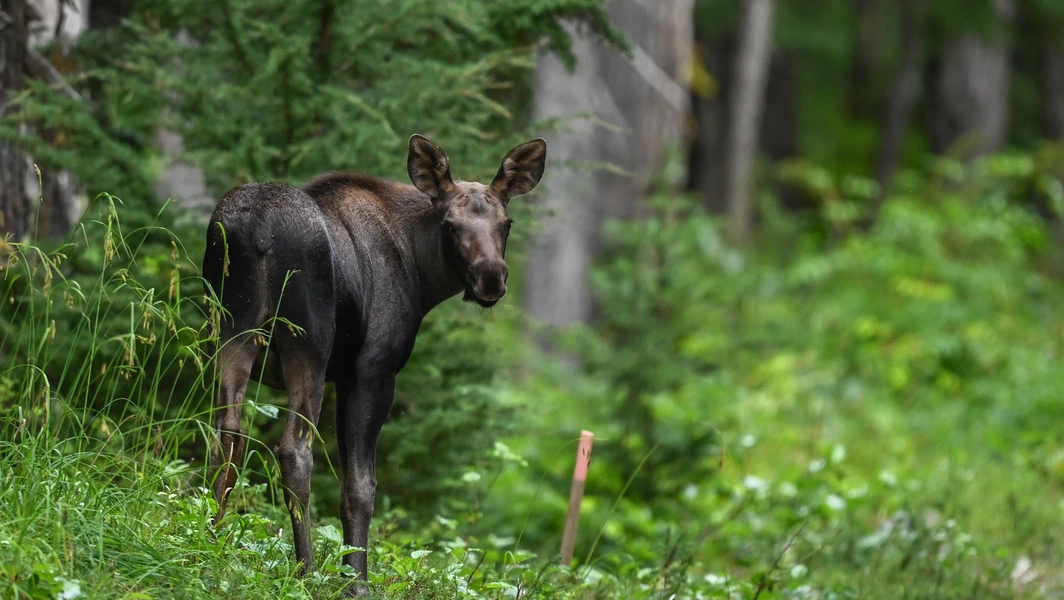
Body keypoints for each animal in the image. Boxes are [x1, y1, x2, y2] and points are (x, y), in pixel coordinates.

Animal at [201, 134, 546, 595]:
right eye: (449, 224)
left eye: (506, 223)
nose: (490, 277)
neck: (421, 274)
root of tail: (254, 232)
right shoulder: (374, 369)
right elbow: (361, 487)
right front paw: (357, 583)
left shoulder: (345, 377)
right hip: (305, 343)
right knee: (293, 450)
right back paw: (306, 571)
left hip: (230, 332)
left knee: (227, 436)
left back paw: (210, 544)